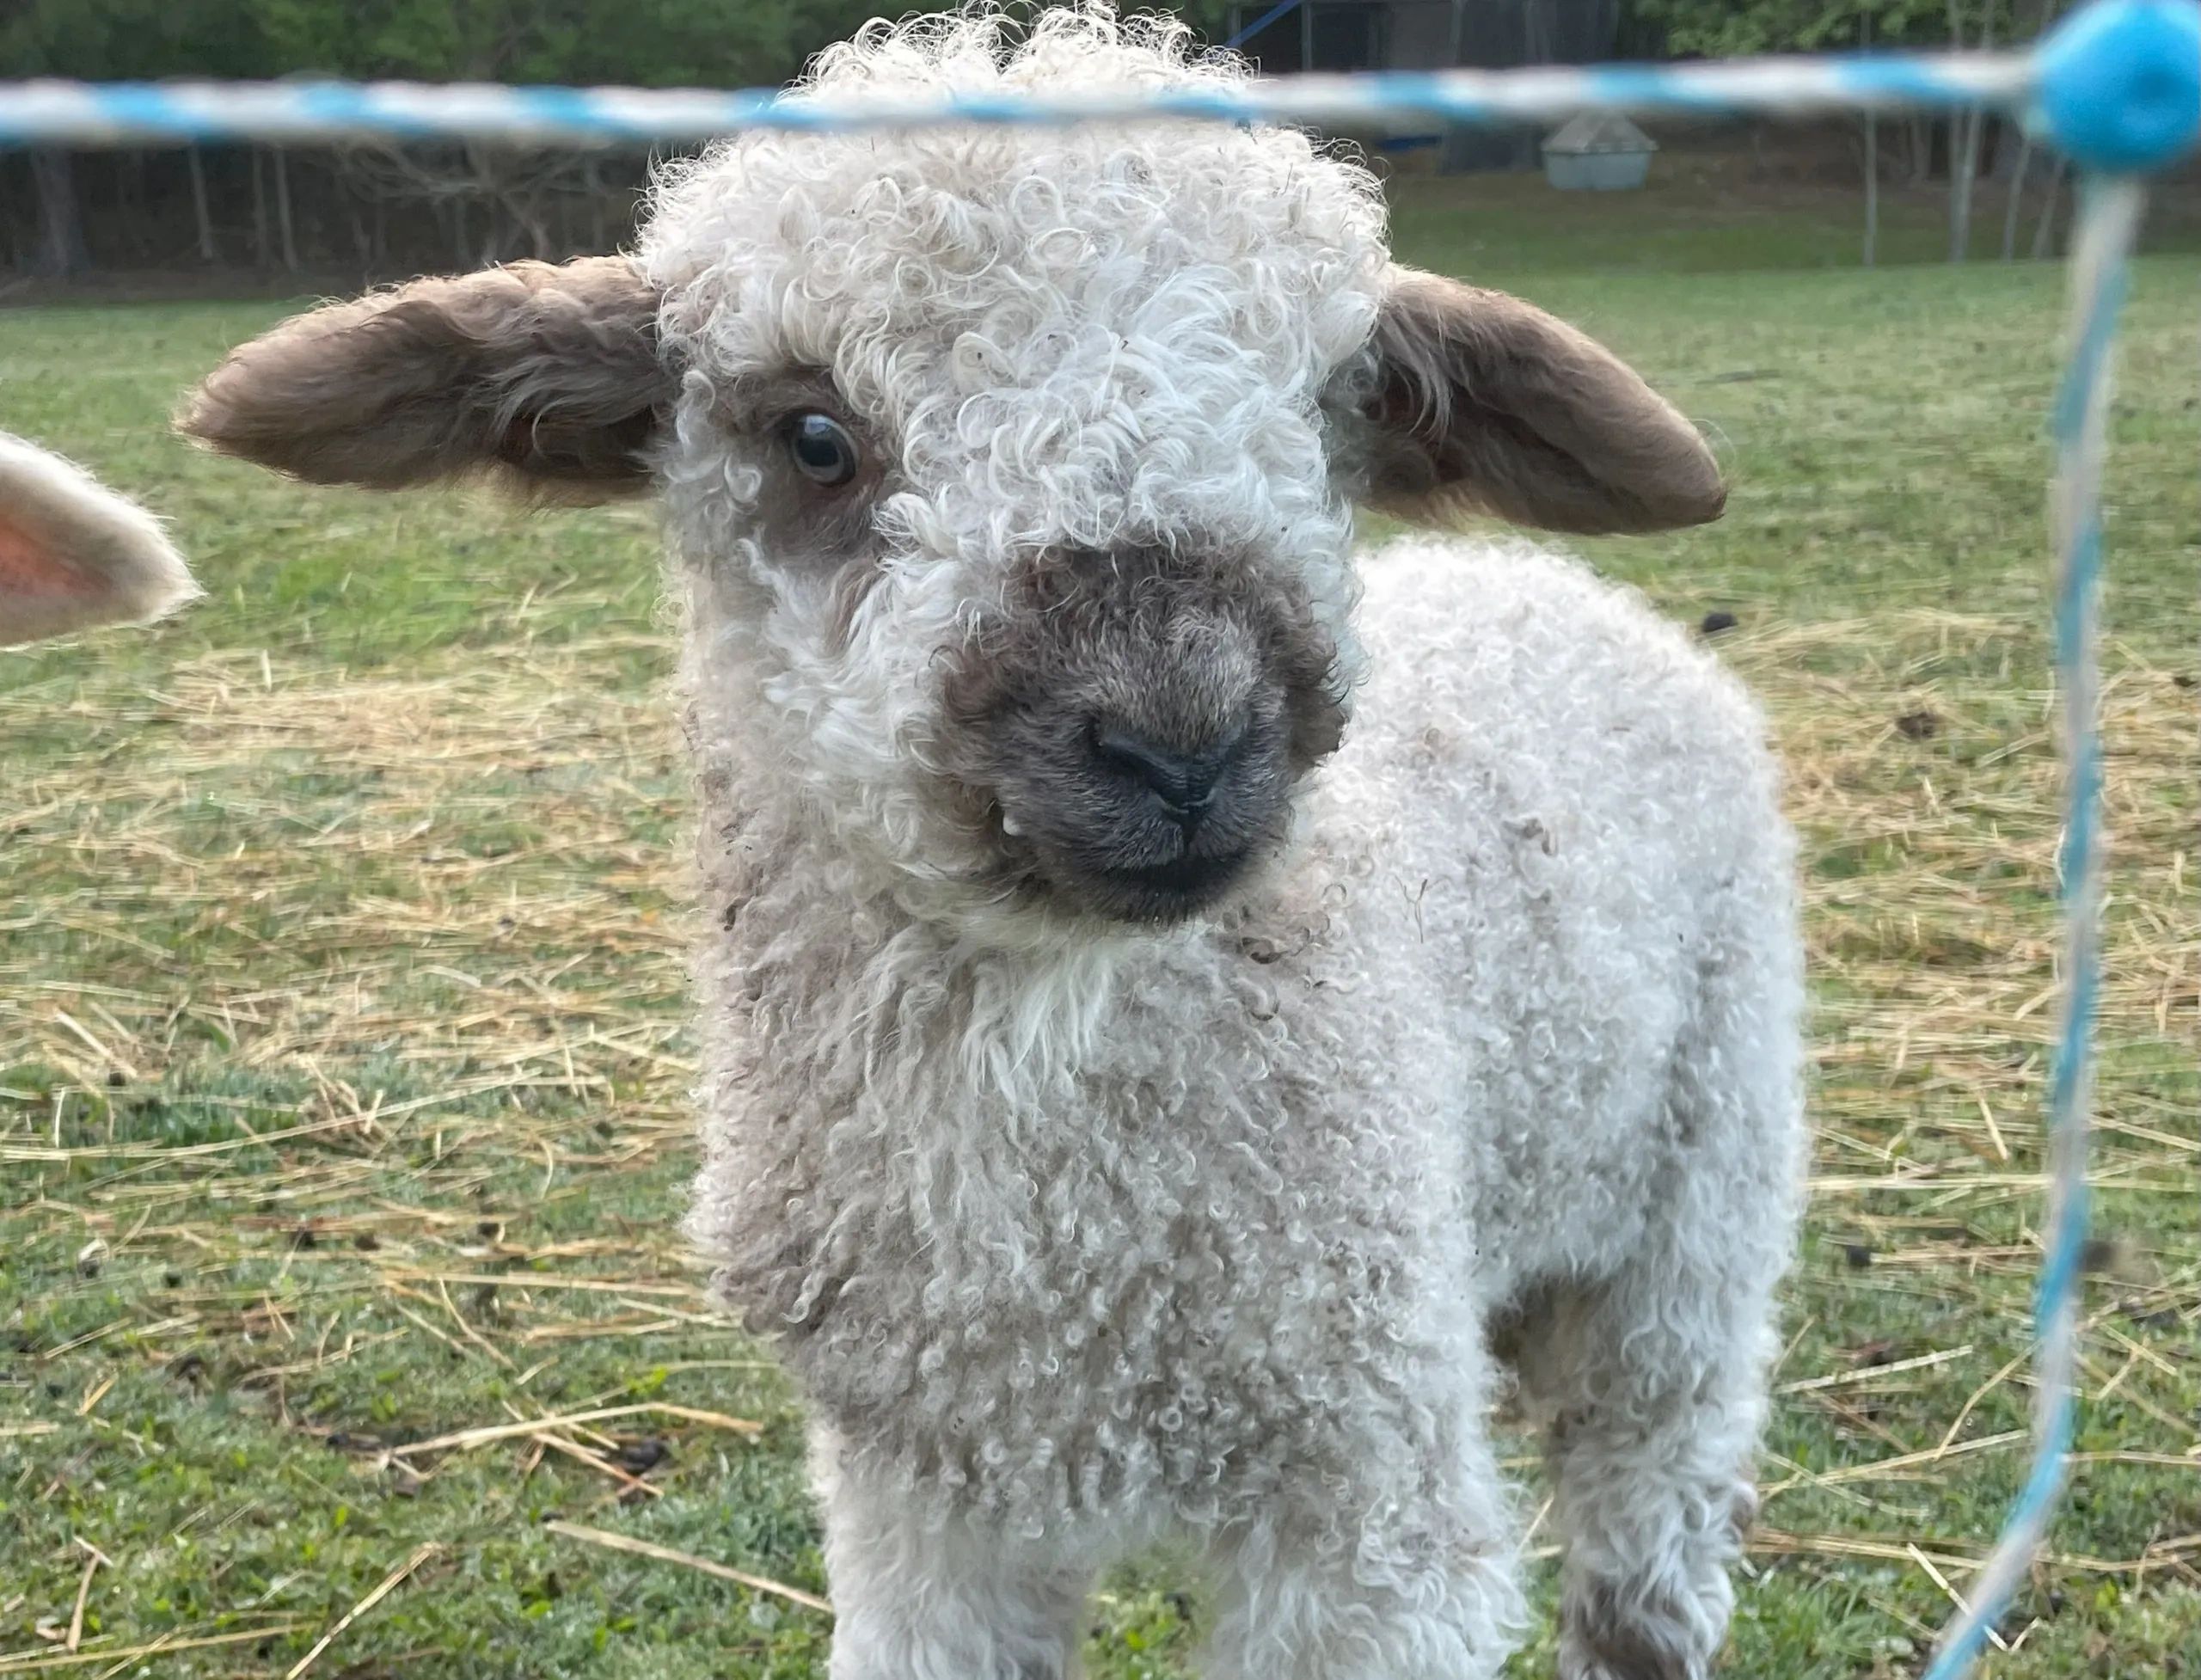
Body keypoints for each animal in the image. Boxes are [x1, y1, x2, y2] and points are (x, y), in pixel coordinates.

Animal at [178, 7, 1806, 1676]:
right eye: (814, 435)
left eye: (1327, 409)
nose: (1181, 742)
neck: (1047, 1248)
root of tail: (1556, 592)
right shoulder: (925, 1498)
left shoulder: (1366, 1502)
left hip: (1698, 1199)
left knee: (1648, 1530)